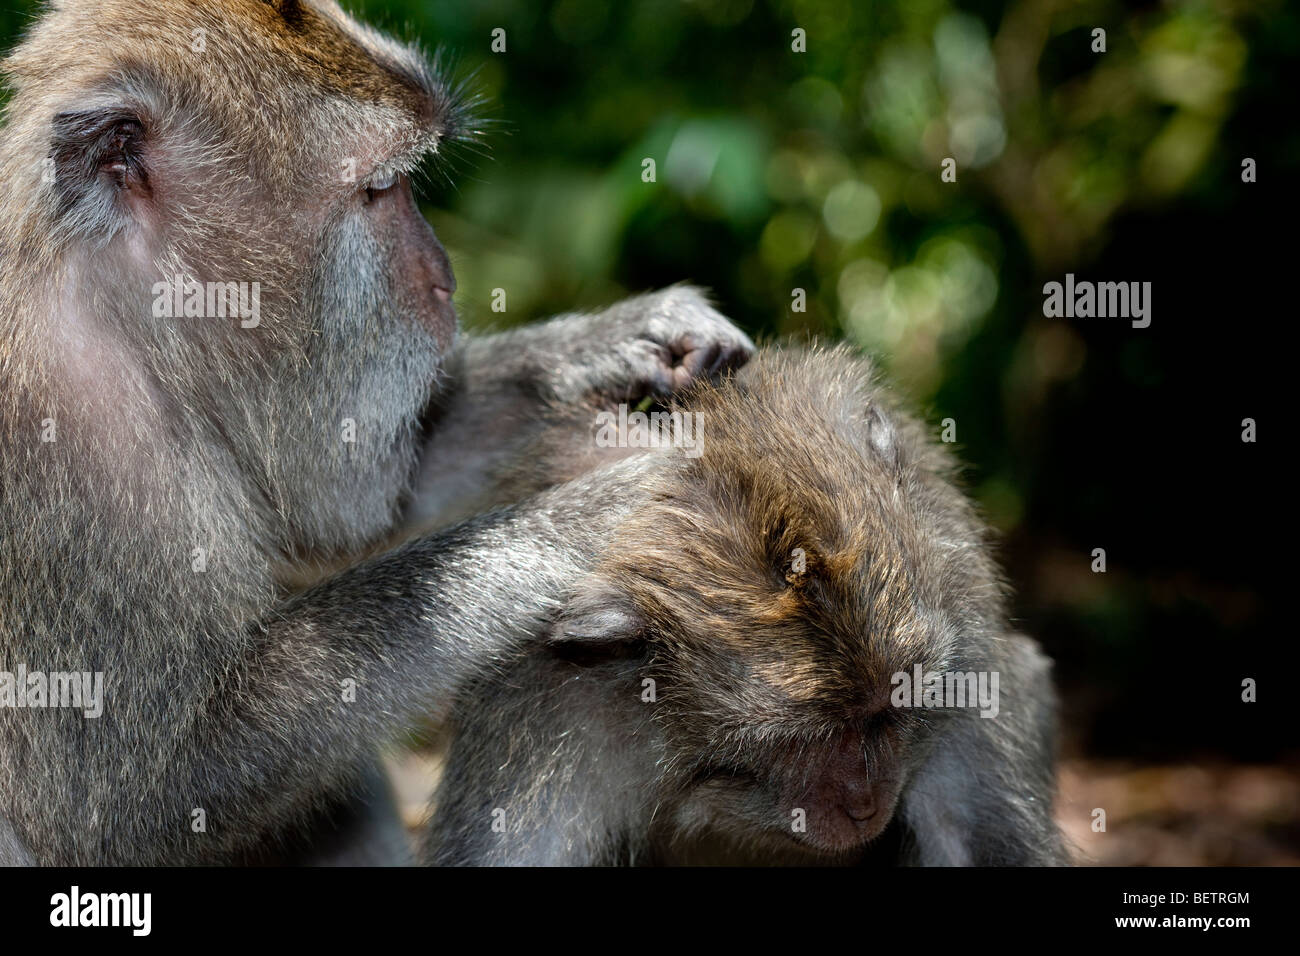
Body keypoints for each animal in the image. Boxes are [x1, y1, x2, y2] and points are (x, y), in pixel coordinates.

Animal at [0, 0, 753, 866]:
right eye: (378, 187)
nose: (445, 281)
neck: (120, 321)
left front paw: (610, 341)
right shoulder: (64, 443)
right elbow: (125, 803)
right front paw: (594, 518)